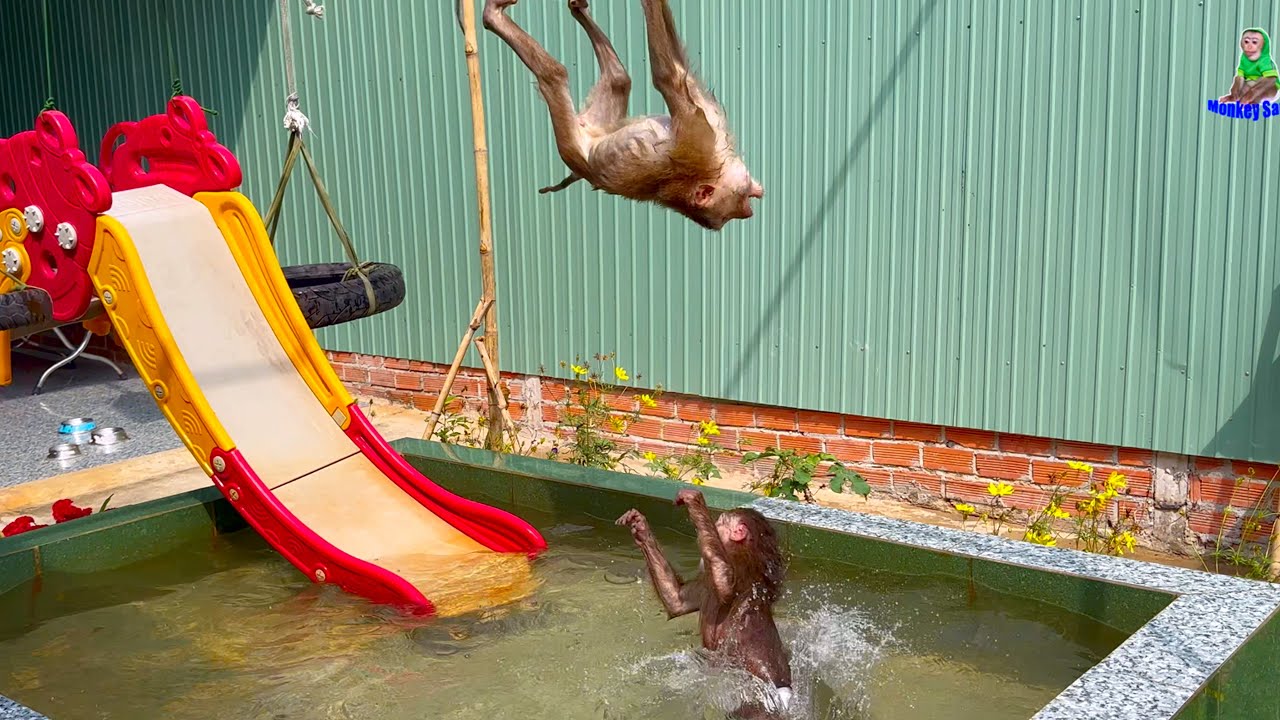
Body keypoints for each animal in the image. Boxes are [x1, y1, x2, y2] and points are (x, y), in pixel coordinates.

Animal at [479, 0, 764, 231]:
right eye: (746, 199)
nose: (755, 201)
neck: (716, 165)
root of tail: (587, 126)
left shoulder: (696, 138)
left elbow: (667, 77)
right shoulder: (704, 130)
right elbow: (675, 73)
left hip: (573, 143)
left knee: (561, 76)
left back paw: (493, 17)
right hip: (599, 122)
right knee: (618, 81)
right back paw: (575, 11)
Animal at [616, 488, 792, 719]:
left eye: (718, 523)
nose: (713, 522)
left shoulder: (738, 570)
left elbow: (724, 582)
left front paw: (694, 501)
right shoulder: (704, 585)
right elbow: (677, 600)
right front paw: (640, 527)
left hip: (756, 704)